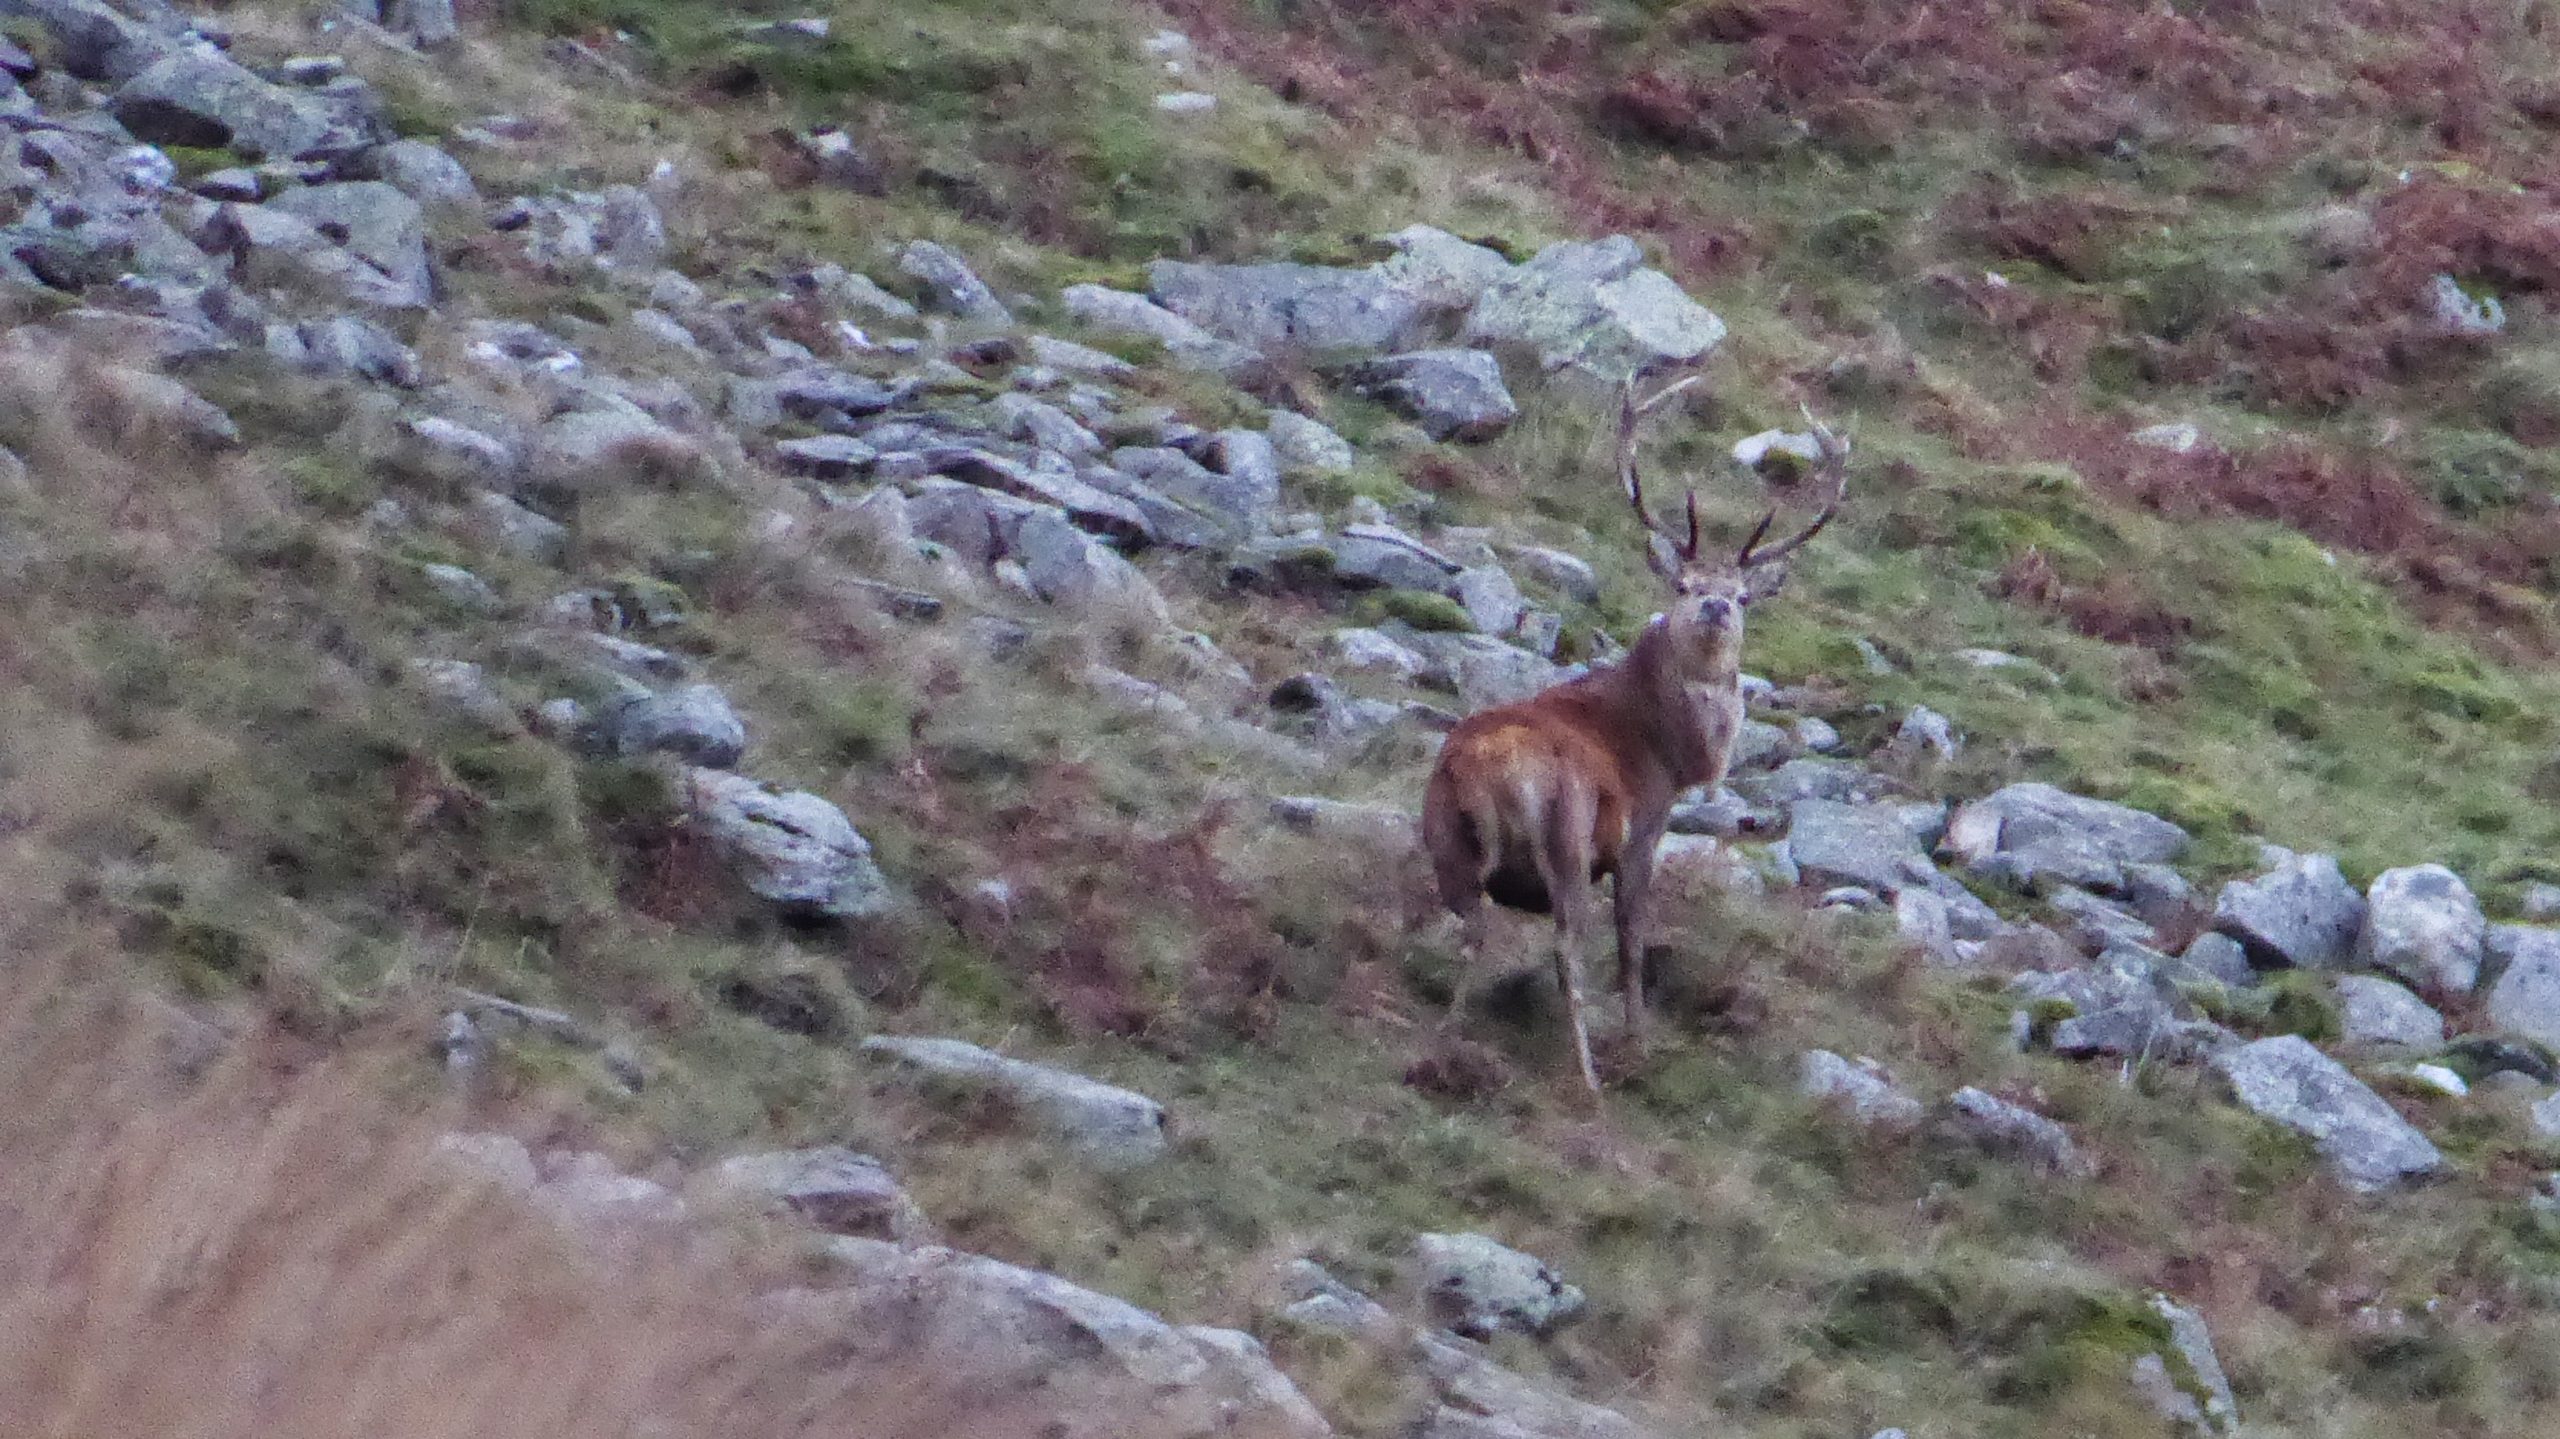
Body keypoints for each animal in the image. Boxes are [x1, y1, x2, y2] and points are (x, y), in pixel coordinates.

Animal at [1418, 369, 1848, 1094]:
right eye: (1683, 583)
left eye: (1743, 595)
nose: (1714, 604)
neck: (1669, 752)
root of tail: (1490, 768)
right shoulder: (1641, 830)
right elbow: (1632, 941)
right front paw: (1638, 1042)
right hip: (1565, 837)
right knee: (1567, 947)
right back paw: (1587, 1074)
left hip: (1443, 835)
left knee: (1468, 924)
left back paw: (1448, 1039)